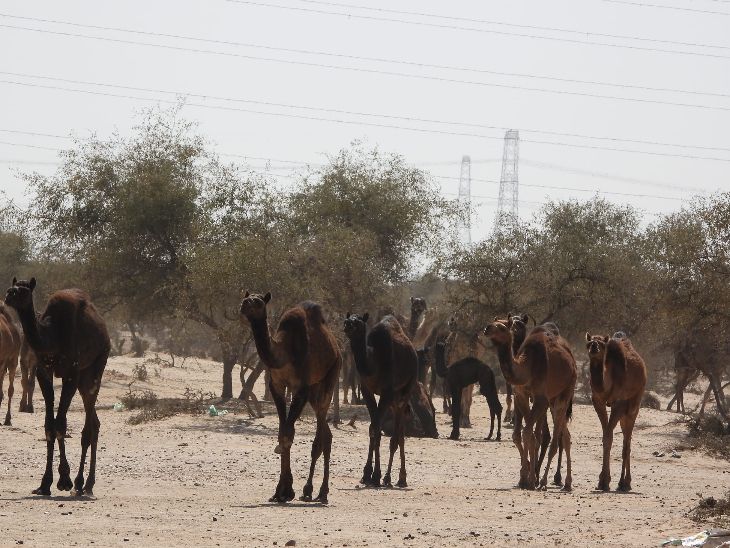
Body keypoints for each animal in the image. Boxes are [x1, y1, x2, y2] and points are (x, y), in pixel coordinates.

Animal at [5, 277, 110, 496]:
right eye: (13, 286)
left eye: (25, 290)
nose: (9, 294)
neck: (52, 336)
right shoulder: (44, 370)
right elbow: (49, 425)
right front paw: (45, 484)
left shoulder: (71, 372)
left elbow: (60, 423)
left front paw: (64, 480)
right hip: (83, 378)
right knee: (94, 422)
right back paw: (87, 484)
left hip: (96, 365)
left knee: (88, 427)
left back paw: (81, 484)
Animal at [239, 292, 340, 504]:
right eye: (247, 297)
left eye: (258, 301)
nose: (244, 304)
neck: (283, 354)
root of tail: (337, 349)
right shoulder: (276, 385)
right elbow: (283, 432)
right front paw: (280, 492)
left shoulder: (301, 388)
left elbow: (287, 434)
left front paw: (287, 491)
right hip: (314, 390)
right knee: (326, 434)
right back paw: (317, 491)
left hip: (331, 376)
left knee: (320, 436)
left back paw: (315, 491)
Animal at [343, 313, 417, 487]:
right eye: (348, 319)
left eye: (358, 322)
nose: (347, 324)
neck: (373, 362)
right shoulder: (367, 390)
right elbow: (373, 429)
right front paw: (366, 474)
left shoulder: (386, 392)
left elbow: (377, 429)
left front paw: (376, 475)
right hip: (395, 400)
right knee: (399, 434)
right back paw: (397, 478)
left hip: (406, 390)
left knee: (397, 438)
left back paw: (395, 478)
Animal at [484, 317, 576, 490]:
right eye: (494, 321)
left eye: (502, 327)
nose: (487, 328)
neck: (527, 368)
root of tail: (572, 361)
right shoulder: (521, 395)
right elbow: (522, 434)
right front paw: (524, 477)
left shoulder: (541, 399)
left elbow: (528, 432)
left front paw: (531, 479)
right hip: (554, 399)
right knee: (566, 435)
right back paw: (567, 482)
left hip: (566, 391)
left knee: (555, 441)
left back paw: (545, 482)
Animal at [586, 332, 647, 491]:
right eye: (588, 343)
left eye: (602, 344)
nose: (594, 346)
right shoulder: (598, 401)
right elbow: (606, 436)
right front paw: (602, 481)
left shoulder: (619, 403)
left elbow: (609, 437)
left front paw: (605, 481)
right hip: (624, 414)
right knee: (626, 439)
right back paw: (623, 482)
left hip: (633, 407)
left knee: (627, 443)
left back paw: (625, 483)